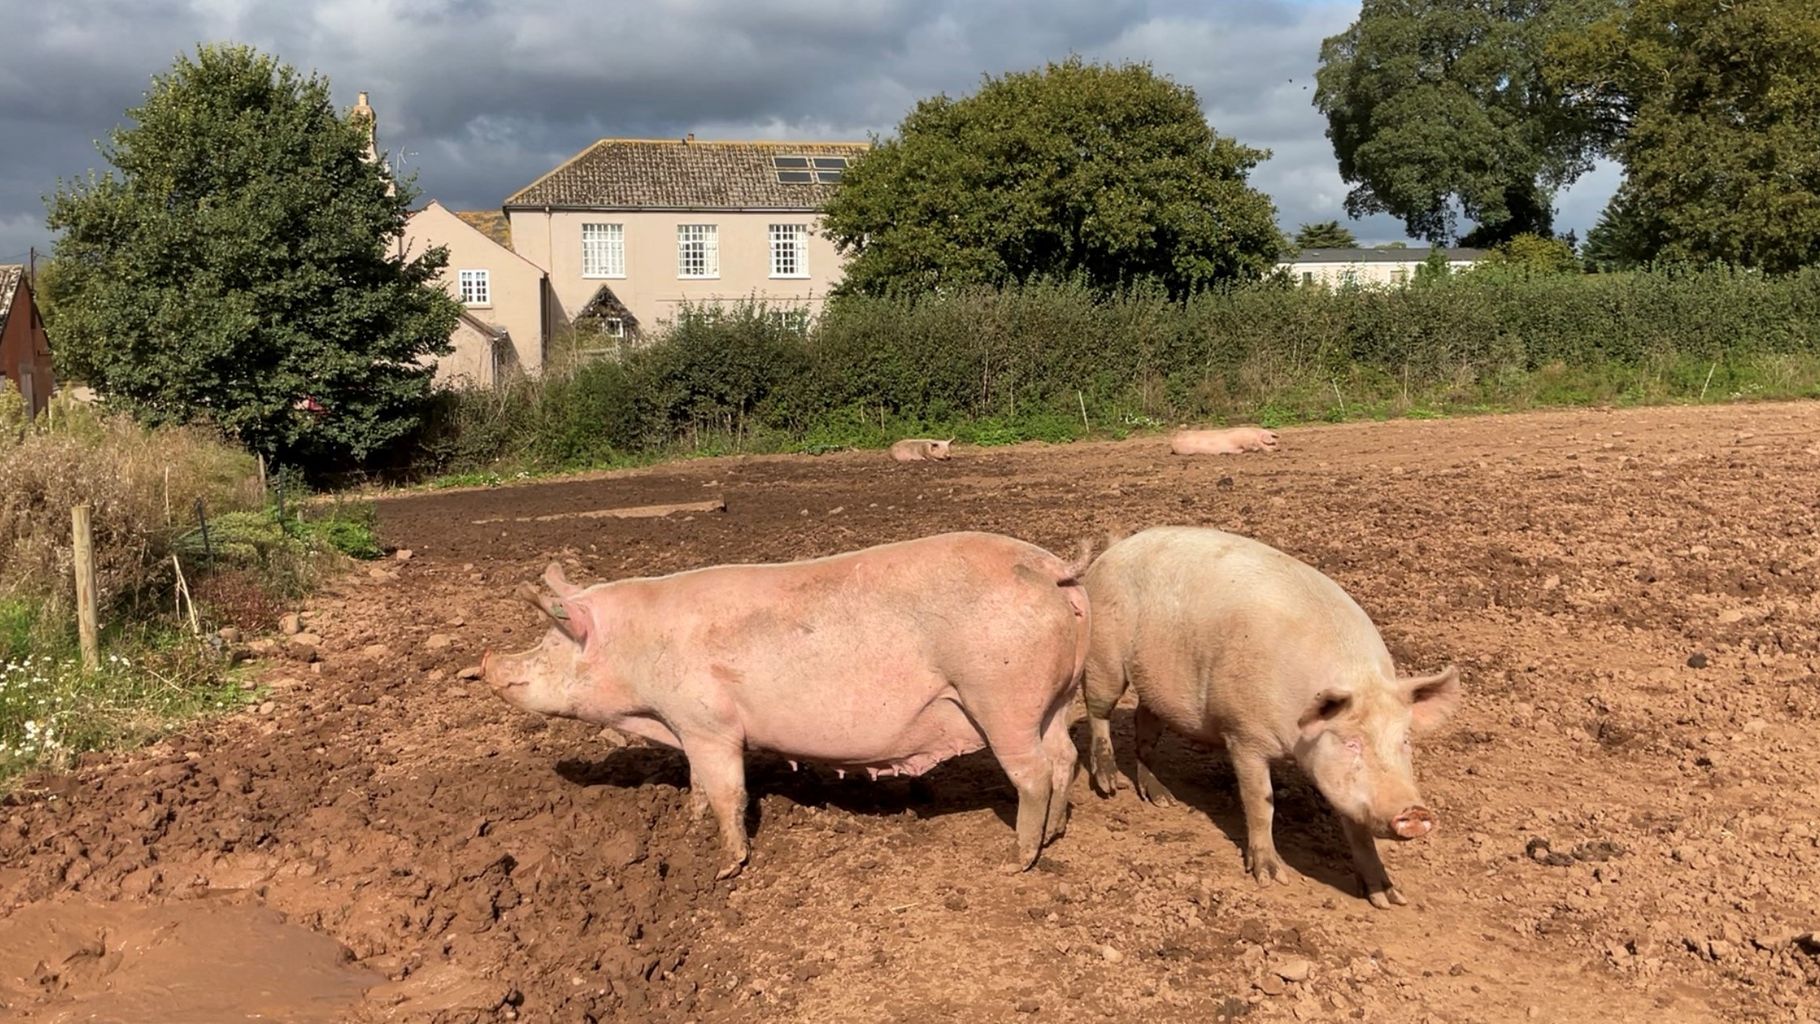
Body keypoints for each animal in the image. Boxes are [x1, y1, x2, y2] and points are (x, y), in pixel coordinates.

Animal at [482, 532, 1090, 879]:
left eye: (550, 645)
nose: (487, 663)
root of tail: (1054, 569)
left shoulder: (709, 723)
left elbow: (729, 792)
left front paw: (726, 870)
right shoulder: (687, 729)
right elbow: (698, 783)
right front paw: (688, 821)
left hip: (1001, 696)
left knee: (1034, 772)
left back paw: (1016, 862)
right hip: (1056, 698)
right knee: (1065, 758)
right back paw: (1056, 833)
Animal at [1081, 527, 1461, 908]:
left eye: (1405, 741)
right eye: (1352, 743)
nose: (1416, 812)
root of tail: (1116, 548)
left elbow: (1356, 829)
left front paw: (1389, 897)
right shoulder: (1243, 735)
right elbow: (1261, 801)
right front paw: (1271, 877)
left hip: (1155, 686)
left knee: (1145, 726)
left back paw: (1162, 798)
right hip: (1102, 654)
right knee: (1099, 712)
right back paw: (1108, 785)